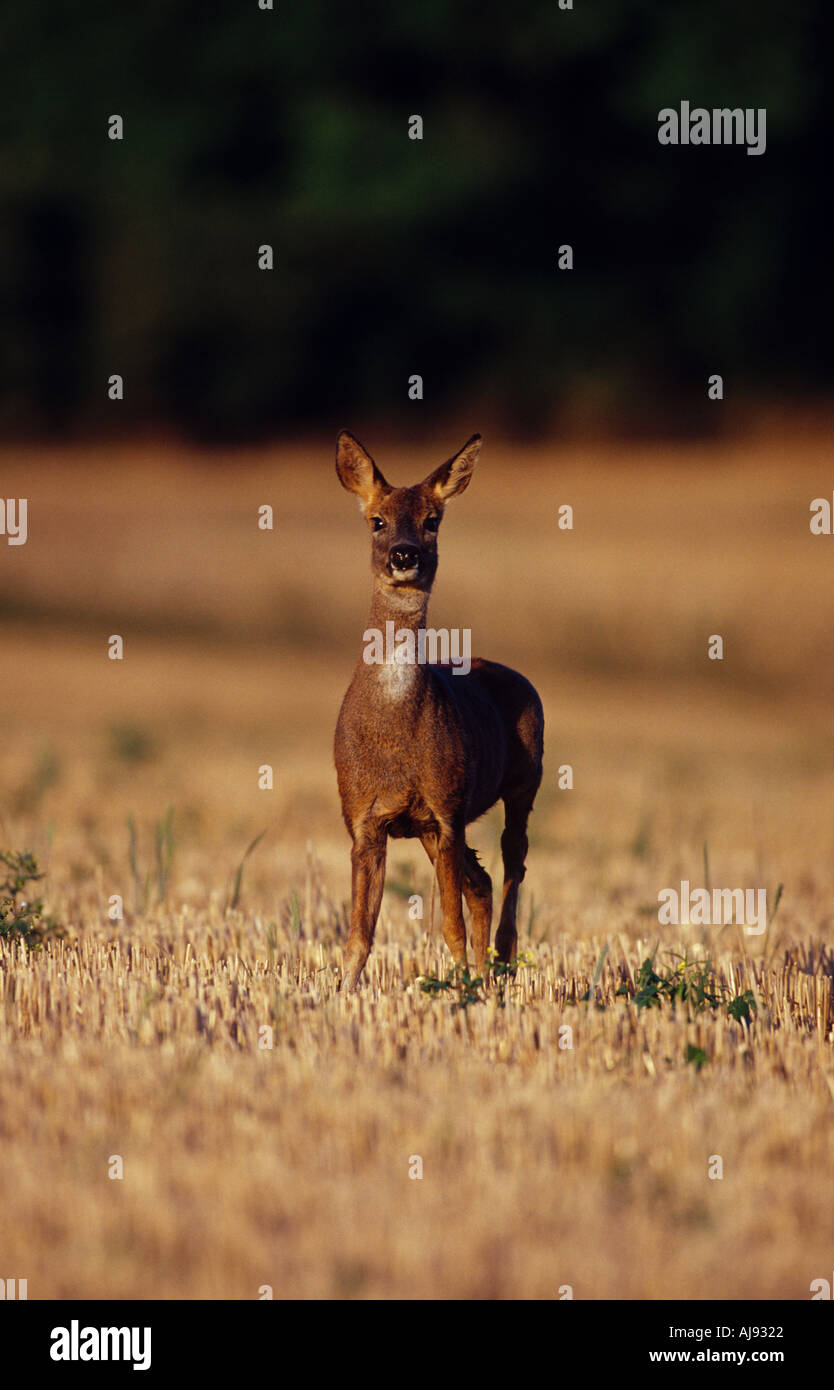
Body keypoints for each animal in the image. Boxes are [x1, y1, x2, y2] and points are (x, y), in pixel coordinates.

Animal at [334, 430, 544, 992]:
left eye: (433, 520)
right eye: (377, 520)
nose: (404, 554)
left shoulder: (446, 810)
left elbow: (449, 924)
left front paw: (460, 991)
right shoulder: (365, 820)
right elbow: (359, 933)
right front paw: (341, 992)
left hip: (524, 782)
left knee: (513, 862)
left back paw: (500, 963)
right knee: (483, 881)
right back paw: (487, 972)